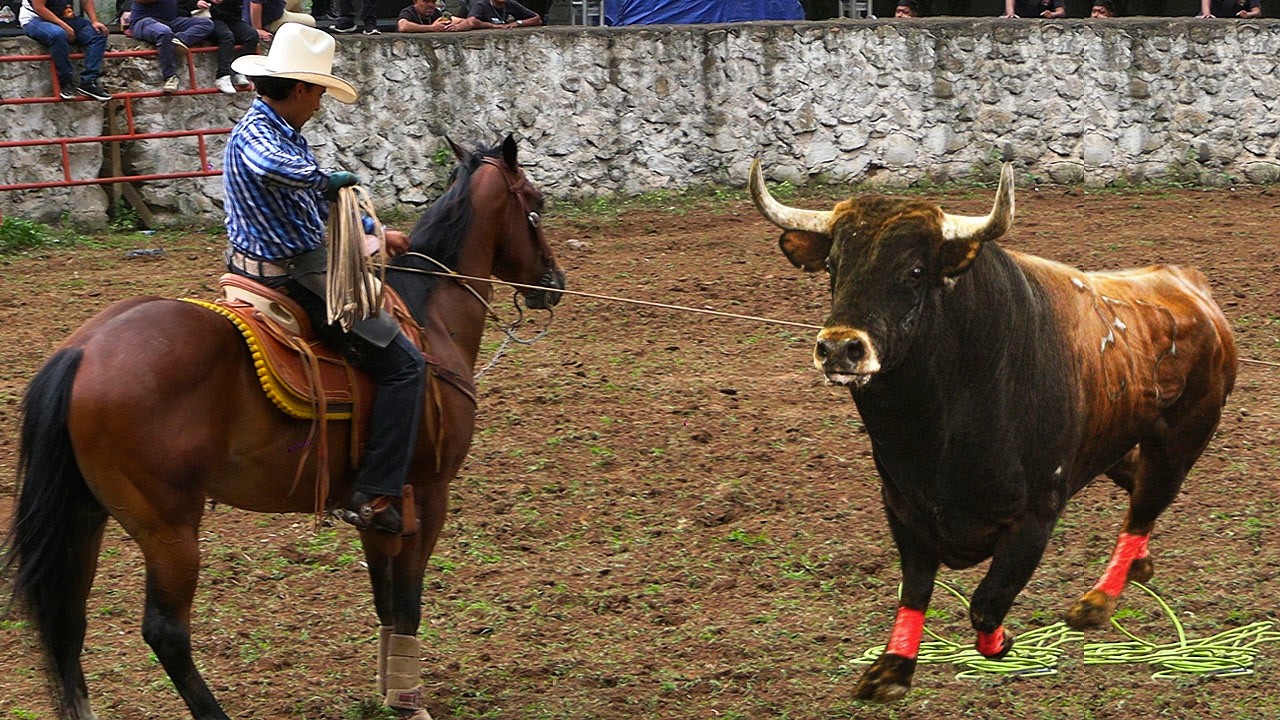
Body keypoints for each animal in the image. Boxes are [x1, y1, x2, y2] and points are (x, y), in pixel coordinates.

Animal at [2, 134, 564, 720]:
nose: (553, 283)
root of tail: (83, 350)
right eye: (536, 203)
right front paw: (411, 701)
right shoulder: (428, 494)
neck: (429, 322)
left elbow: (384, 600)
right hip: (169, 530)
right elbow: (408, 602)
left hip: (87, 516)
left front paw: (390, 690)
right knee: (165, 631)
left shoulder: (379, 508)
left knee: (69, 623)